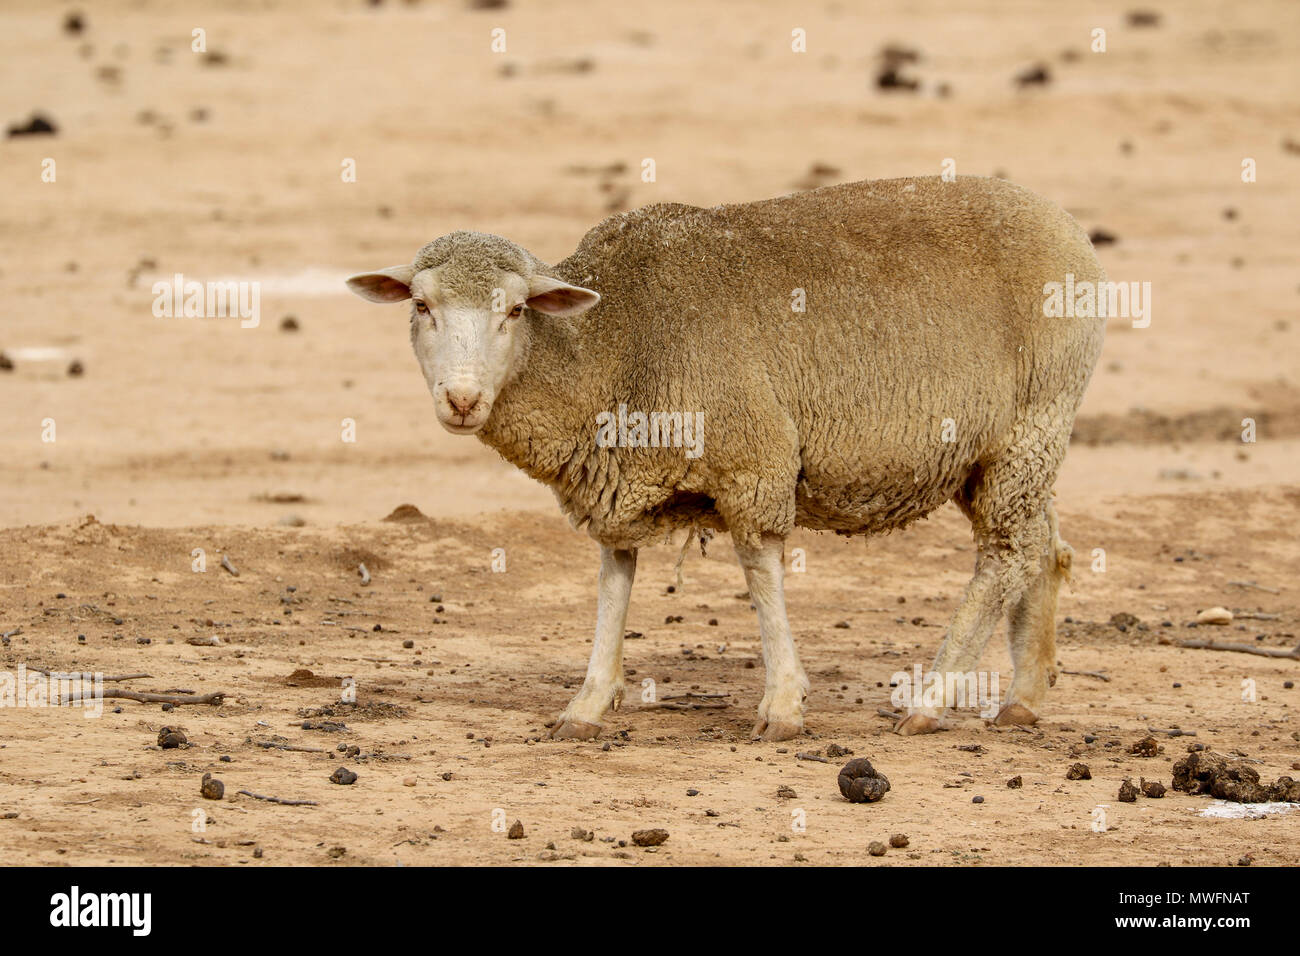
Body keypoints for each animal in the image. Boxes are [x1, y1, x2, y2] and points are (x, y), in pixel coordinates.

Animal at [346, 175, 1106, 741]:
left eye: (512, 311)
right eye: (421, 305)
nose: (462, 399)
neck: (614, 341)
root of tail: (1068, 225)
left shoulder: (754, 458)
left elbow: (761, 572)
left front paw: (784, 705)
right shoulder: (617, 481)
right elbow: (615, 579)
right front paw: (587, 703)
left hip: (1030, 425)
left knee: (1003, 558)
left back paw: (929, 699)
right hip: (1005, 450)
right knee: (1044, 547)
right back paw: (1023, 697)